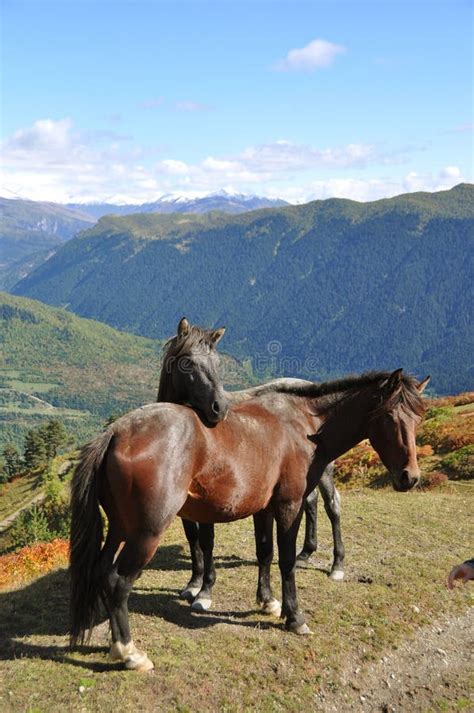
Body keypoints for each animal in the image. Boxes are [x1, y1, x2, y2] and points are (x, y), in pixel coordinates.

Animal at [70, 367, 427, 671]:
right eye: (391, 417)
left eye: (418, 418)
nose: (409, 477)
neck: (304, 426)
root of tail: (117, 432)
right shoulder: (288, 506)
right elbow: (286, 560)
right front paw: (294, 617)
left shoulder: (264, 509)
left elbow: (265, 553)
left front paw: (267, 601)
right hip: (145, 533)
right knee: (118, 581)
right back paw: (128, 652)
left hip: (120, 528)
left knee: (102, 571)